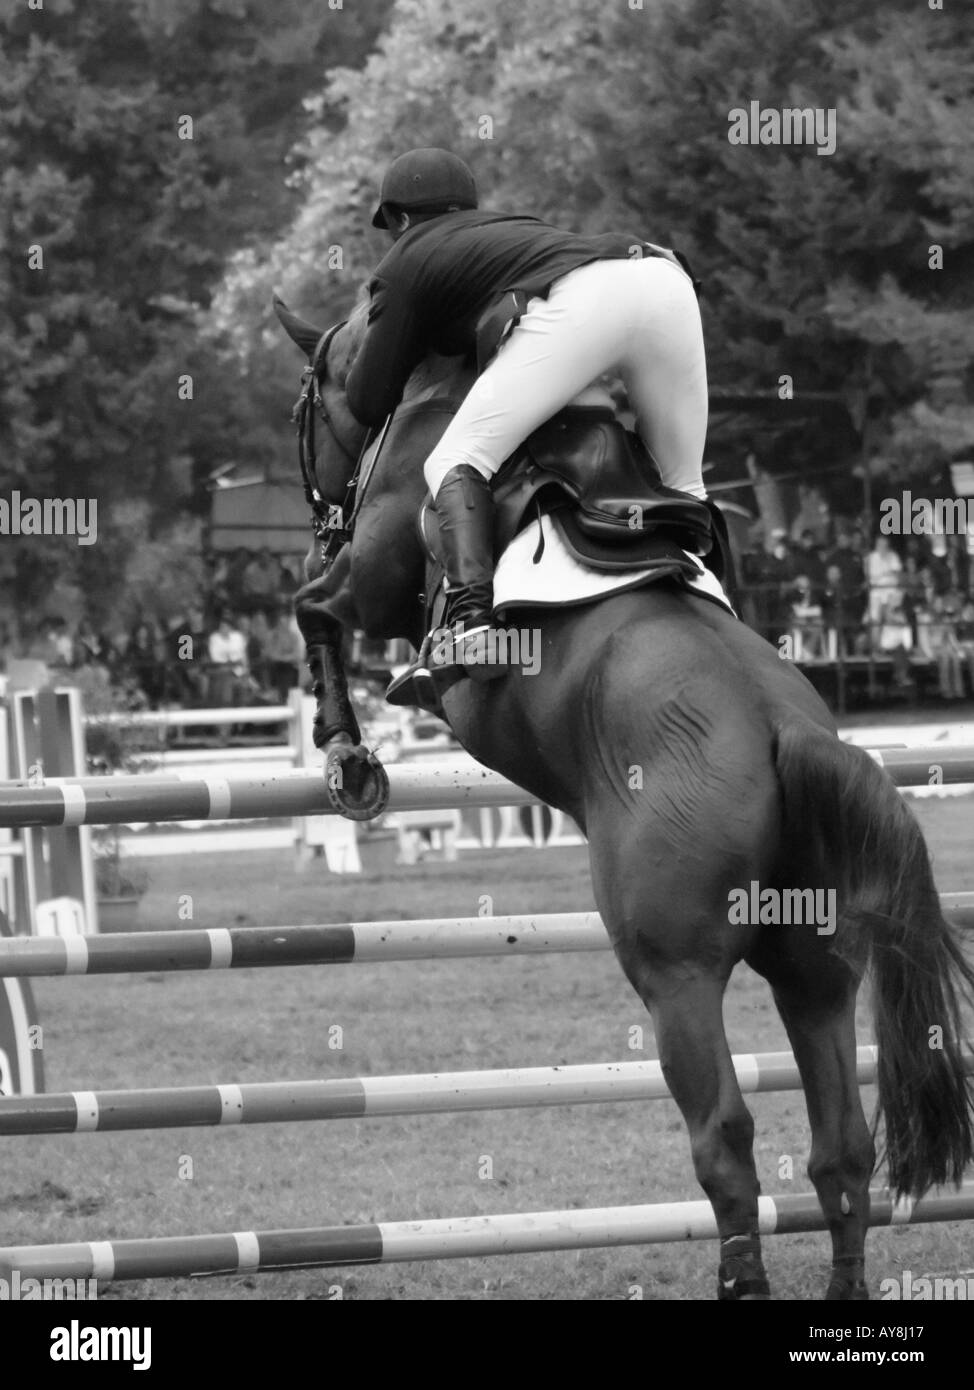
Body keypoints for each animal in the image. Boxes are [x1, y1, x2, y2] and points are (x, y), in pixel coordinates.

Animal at [275, 293, 974, 1300]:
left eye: (303, 412)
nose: (322, 514)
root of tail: (786, 729)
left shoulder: (370, 579)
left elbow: (316, 609)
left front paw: (347, 757)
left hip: (672, 973)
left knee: (723, 1132)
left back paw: (740, 1280)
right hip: (815, 972)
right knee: (840, 1145)